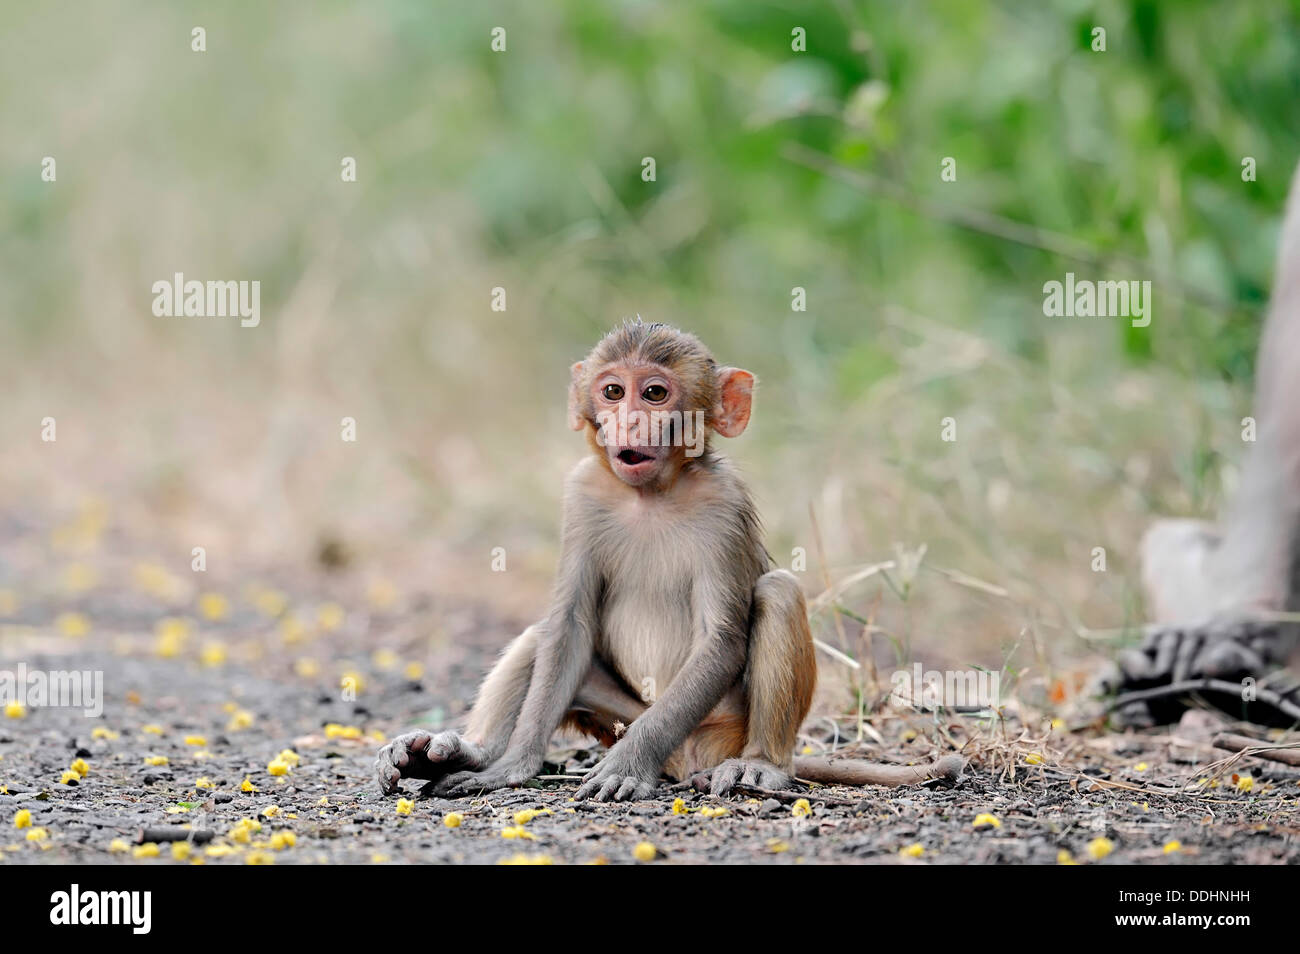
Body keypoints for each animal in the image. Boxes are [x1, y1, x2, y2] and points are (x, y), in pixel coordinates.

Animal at [376, 319, 963, 801]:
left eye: (655, 394)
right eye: (613, 391)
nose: (629, 422)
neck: (650, 495)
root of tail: (688, 760)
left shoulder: (725, 503)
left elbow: (721, 639)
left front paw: (628, 766)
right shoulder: (582, 494)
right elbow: (568, 625)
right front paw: (510, 768)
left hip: (720, 728)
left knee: (777, 592)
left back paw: (762, 766)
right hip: (620, 715)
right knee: (541, 636)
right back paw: (462, 753)